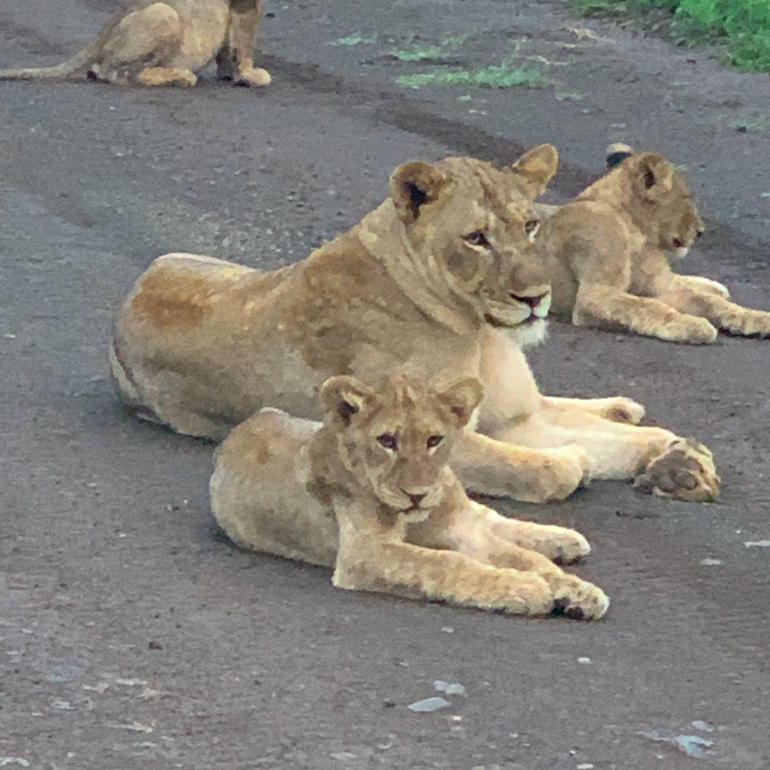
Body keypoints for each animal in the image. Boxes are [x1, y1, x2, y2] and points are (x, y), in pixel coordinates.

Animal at [0, 0, 270, 88]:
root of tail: (107, 28)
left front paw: (230, 74)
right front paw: (249, 74)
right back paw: (180, 77)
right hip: (165, 14)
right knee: (118, 73)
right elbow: (246, 41)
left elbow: (230, 46)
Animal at [110, 145, 719, 504]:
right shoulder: (442, 437)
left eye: (529, 225)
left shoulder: (514, 416)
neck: (480, 332)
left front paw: (677, 461)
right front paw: (581, 462)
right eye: (476, 238)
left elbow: (616, 440)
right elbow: (550, 468)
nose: (536, 298)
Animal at [210, 374, 610, 619]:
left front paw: (578, 592)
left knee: (494, 520)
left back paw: (566, 541)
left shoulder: (462, 532)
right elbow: (445, 563)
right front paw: (527, 590)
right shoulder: (363, 554)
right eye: (387, 441)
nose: (417, 495)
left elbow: (525, 558)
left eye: (434, 440)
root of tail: (249, 421)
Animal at [536, 143, 770, 343]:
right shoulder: (595, 295)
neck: (636, 232)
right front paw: (692, 324)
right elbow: (647, 306)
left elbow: (708, 302)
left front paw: (758, 318)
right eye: (686, 197)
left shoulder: (658, 285)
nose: (701, 232)